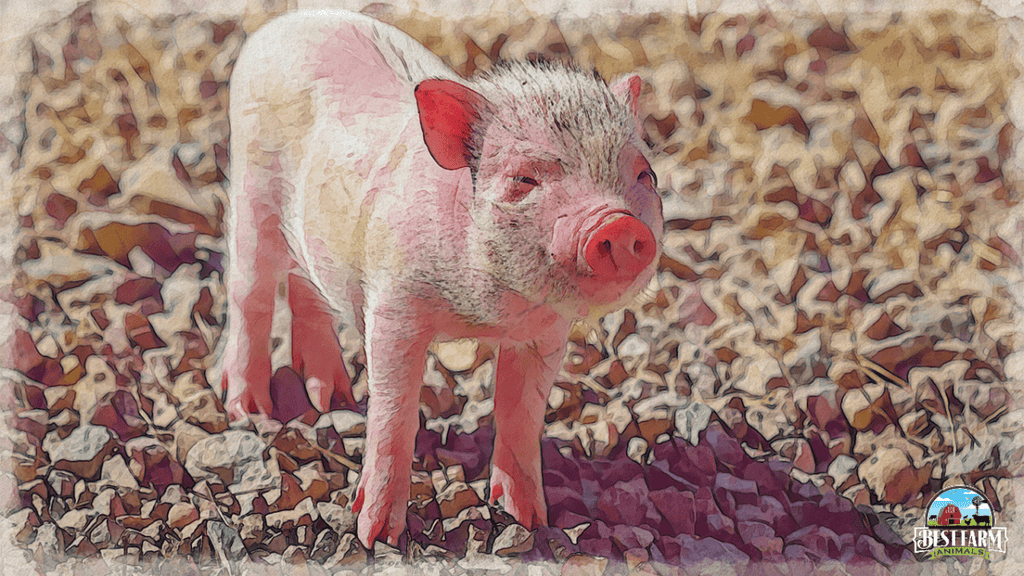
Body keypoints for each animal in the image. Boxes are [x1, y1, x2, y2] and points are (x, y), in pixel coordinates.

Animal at [224, 9, 663, 547]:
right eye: (523, 180)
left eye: (645, 176)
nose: (617, 224)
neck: (486, 313)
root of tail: (284, 23)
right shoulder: (394, 306)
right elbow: (394, 414)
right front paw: (376, 538)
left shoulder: (543, 334)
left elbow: (520, 415)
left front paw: (528, 523)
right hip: (250, 189)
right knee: (250, 292)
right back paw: (250, 411)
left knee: (310, 292)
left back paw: (333, 396)